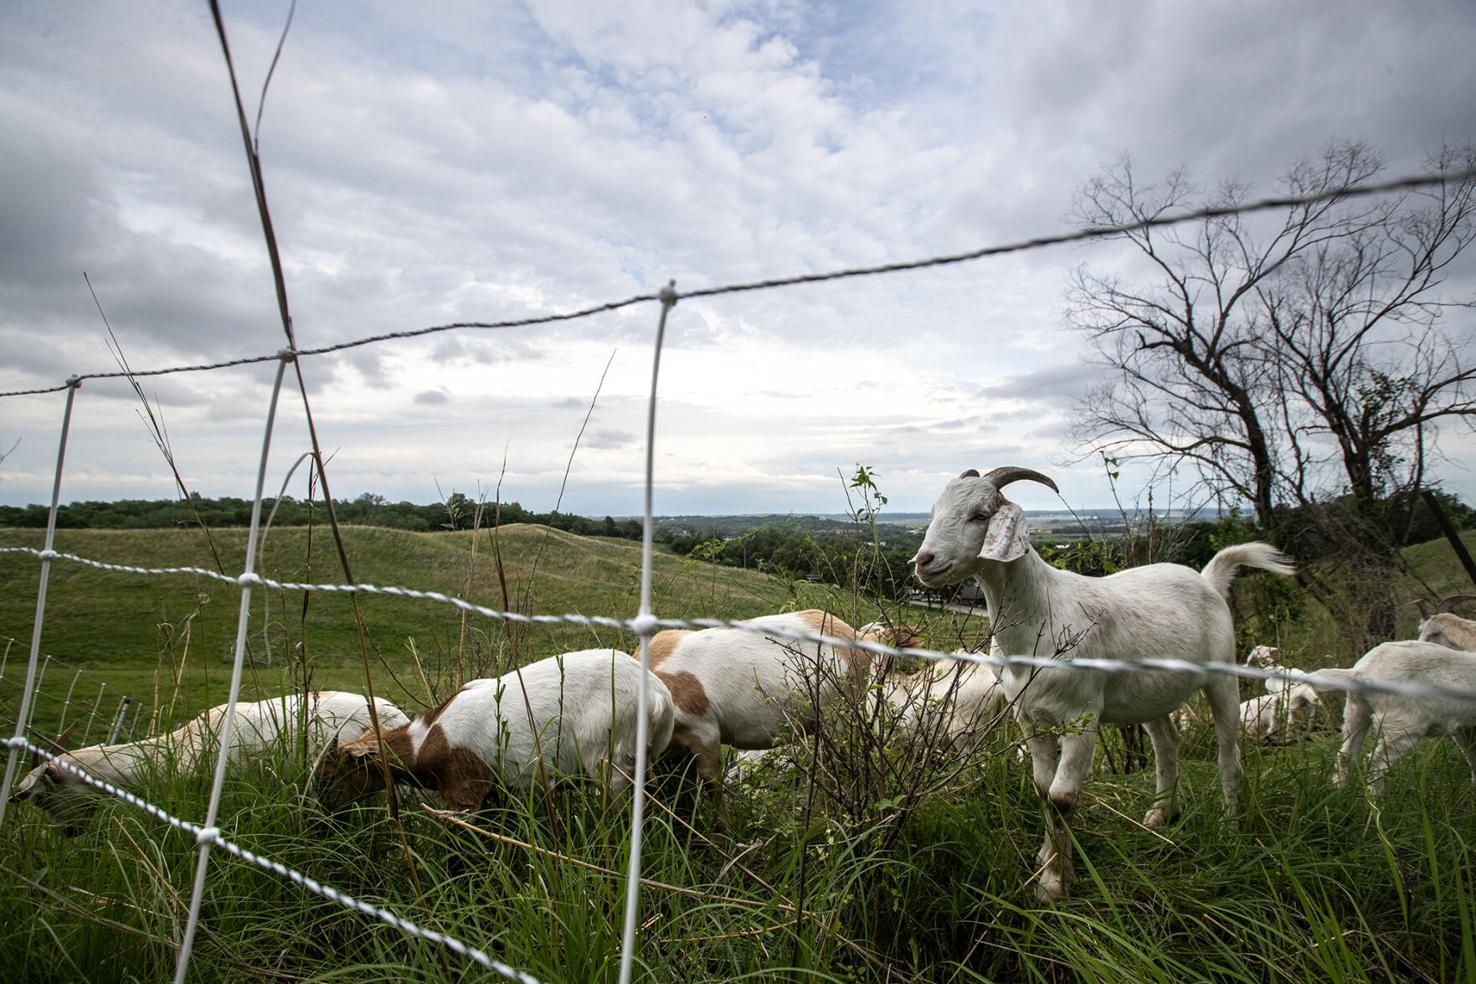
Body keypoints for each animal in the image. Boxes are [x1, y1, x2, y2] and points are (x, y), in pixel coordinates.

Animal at [314, 649, 674, 811]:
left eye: (330, 775)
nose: (323, 812)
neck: (428, 738)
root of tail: (659, 696)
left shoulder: (466, 787)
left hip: (609, 757)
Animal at [913, 465, 1294, 901]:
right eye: (935, 510)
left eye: (979, 515)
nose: (924, 561)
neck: (1043, 613)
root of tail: (1208, 580)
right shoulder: (1030, 720)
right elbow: (1042, 789)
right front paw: (1047, 859)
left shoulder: (1081, 718)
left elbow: (1061, 797)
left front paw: (1055, 883)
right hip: (1151, 695)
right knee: (1167, 743)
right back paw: (1160, 813)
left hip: (1223, 677)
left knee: (1229, 756)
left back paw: (1230, 830)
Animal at [1305, 640, 1476, 795]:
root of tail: (1361, 672)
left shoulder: (1464, 728)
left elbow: (1472, 756)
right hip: (1403, 725)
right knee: (1375, 764)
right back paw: (1377, 802)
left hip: (1356, 711)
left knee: (1346, 755)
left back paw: (1339, 792)